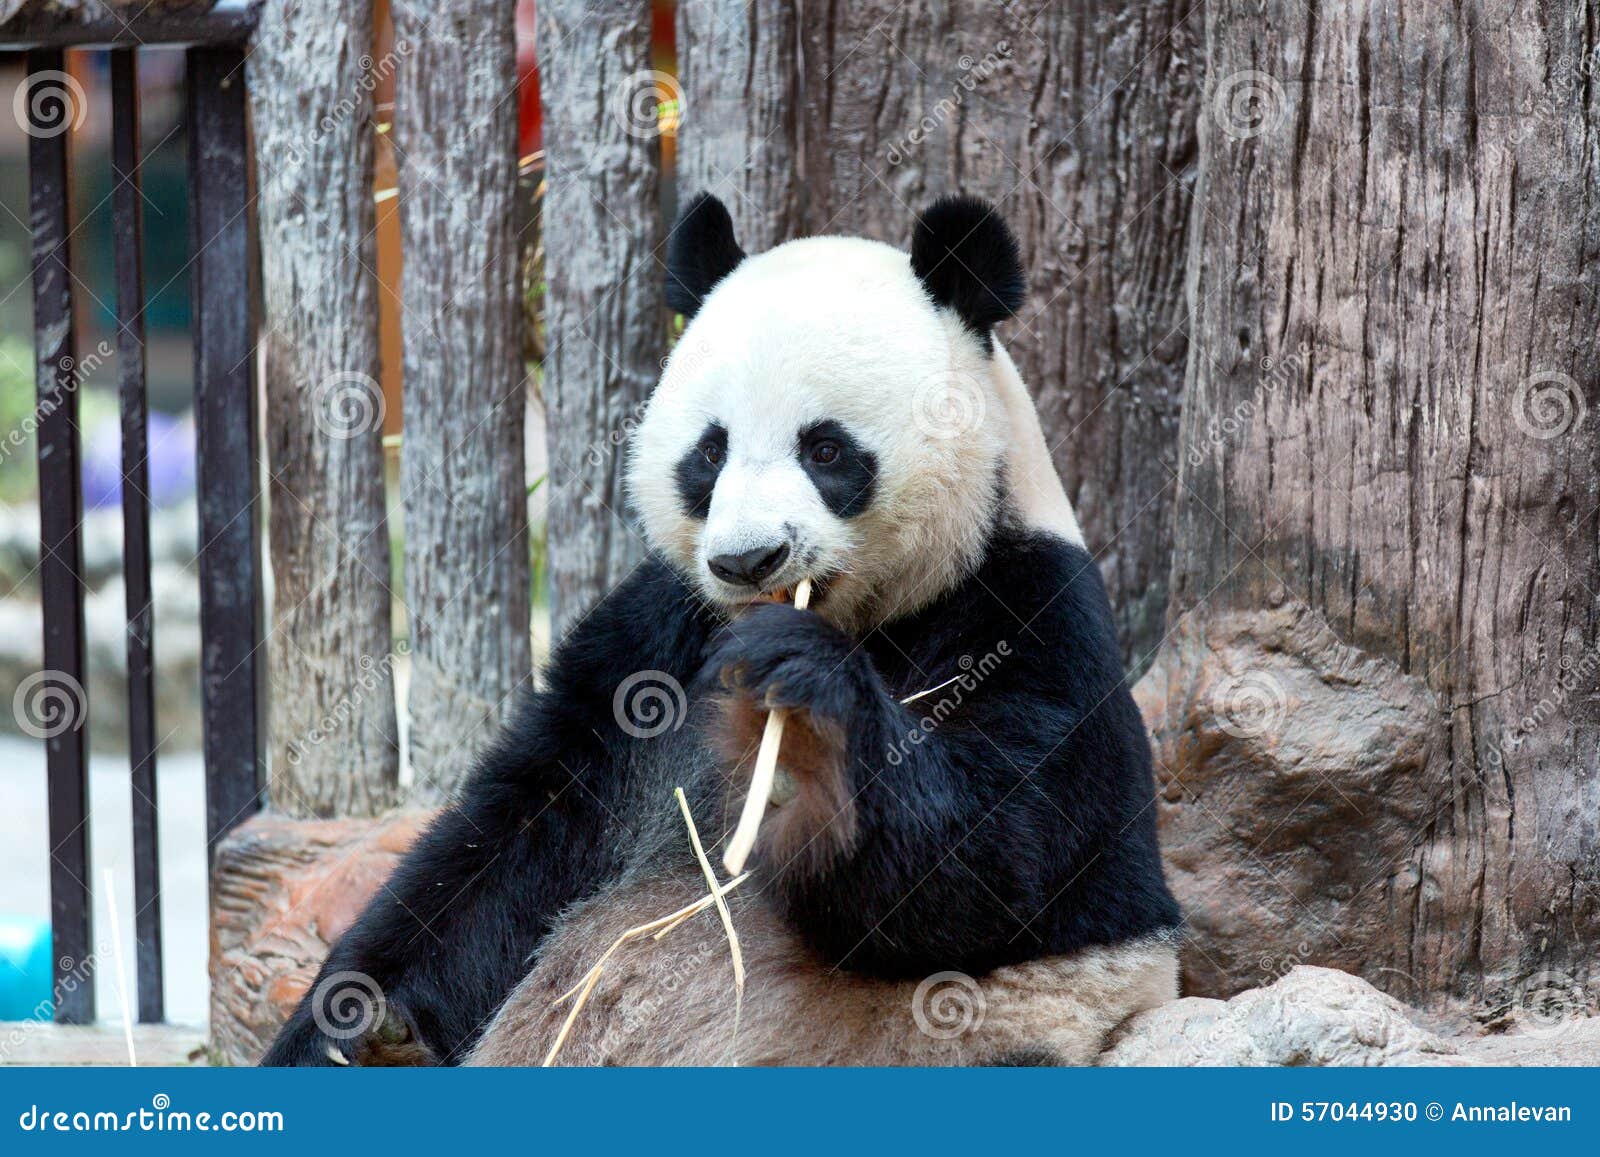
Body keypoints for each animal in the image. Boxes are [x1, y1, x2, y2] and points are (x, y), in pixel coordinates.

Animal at [262, 193, 1181, 1068]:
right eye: (710, 453)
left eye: (826, 450)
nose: (748, 559)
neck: (869, 613)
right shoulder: (653, 645)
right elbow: (503, 853)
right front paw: (339, 1027)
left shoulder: (1032, 613)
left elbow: (997, 866)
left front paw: (803, 697)